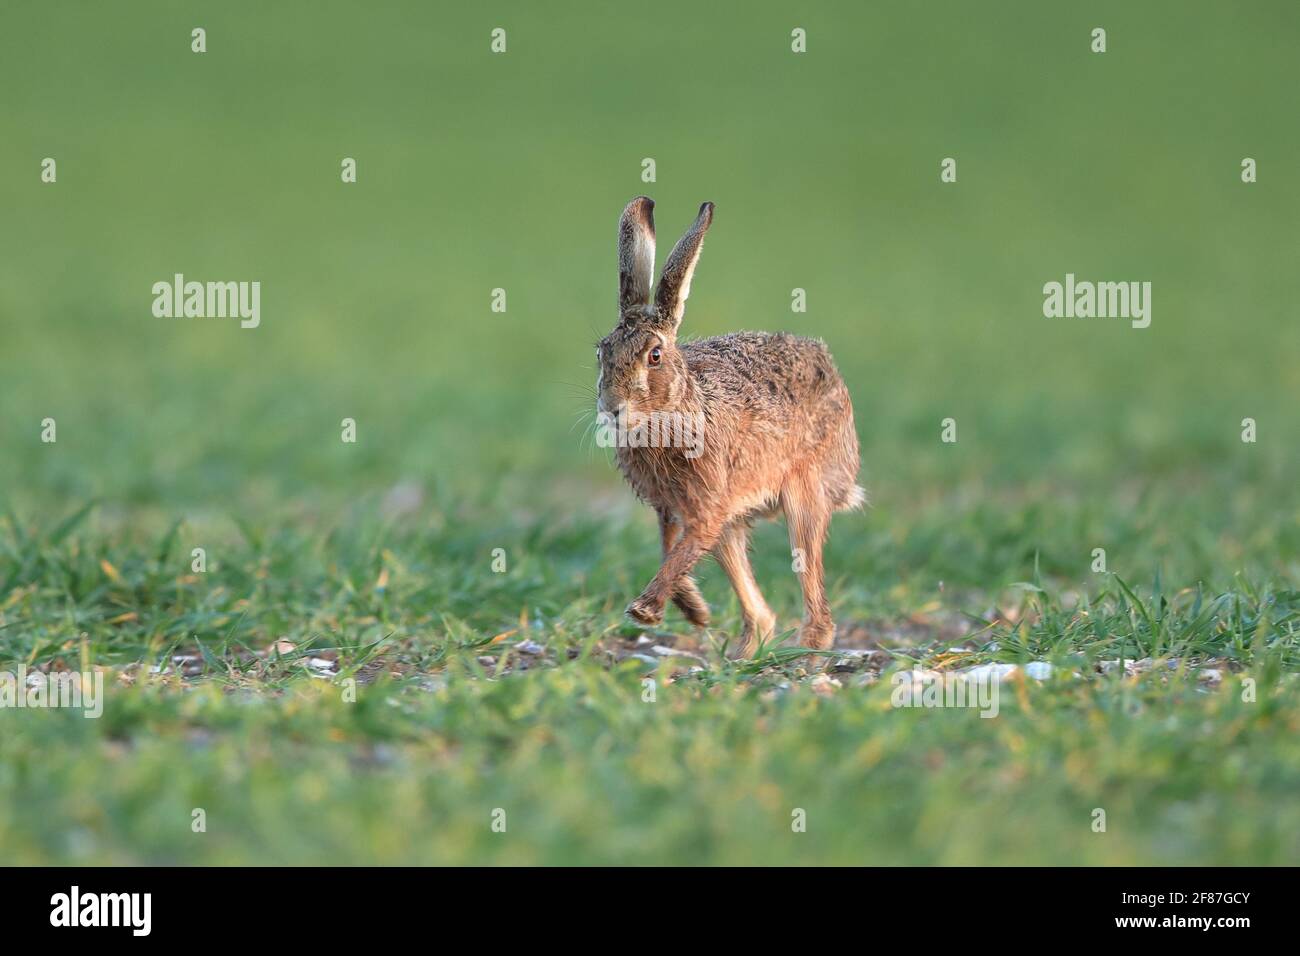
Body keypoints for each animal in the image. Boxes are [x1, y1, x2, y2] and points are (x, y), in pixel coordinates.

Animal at [596, 196, 864, 657]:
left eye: (654, 356)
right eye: (601, 352)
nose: (612, 408)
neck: (676, 410)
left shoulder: (708, 504)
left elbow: (682, 550)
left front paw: (645, 610)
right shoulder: (671, 506)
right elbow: (670, 546)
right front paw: (694, 611)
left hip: (804, 497)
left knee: (814, 597)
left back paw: (805, 656)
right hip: (736, 525)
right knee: (760, 612)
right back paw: (740, 656)